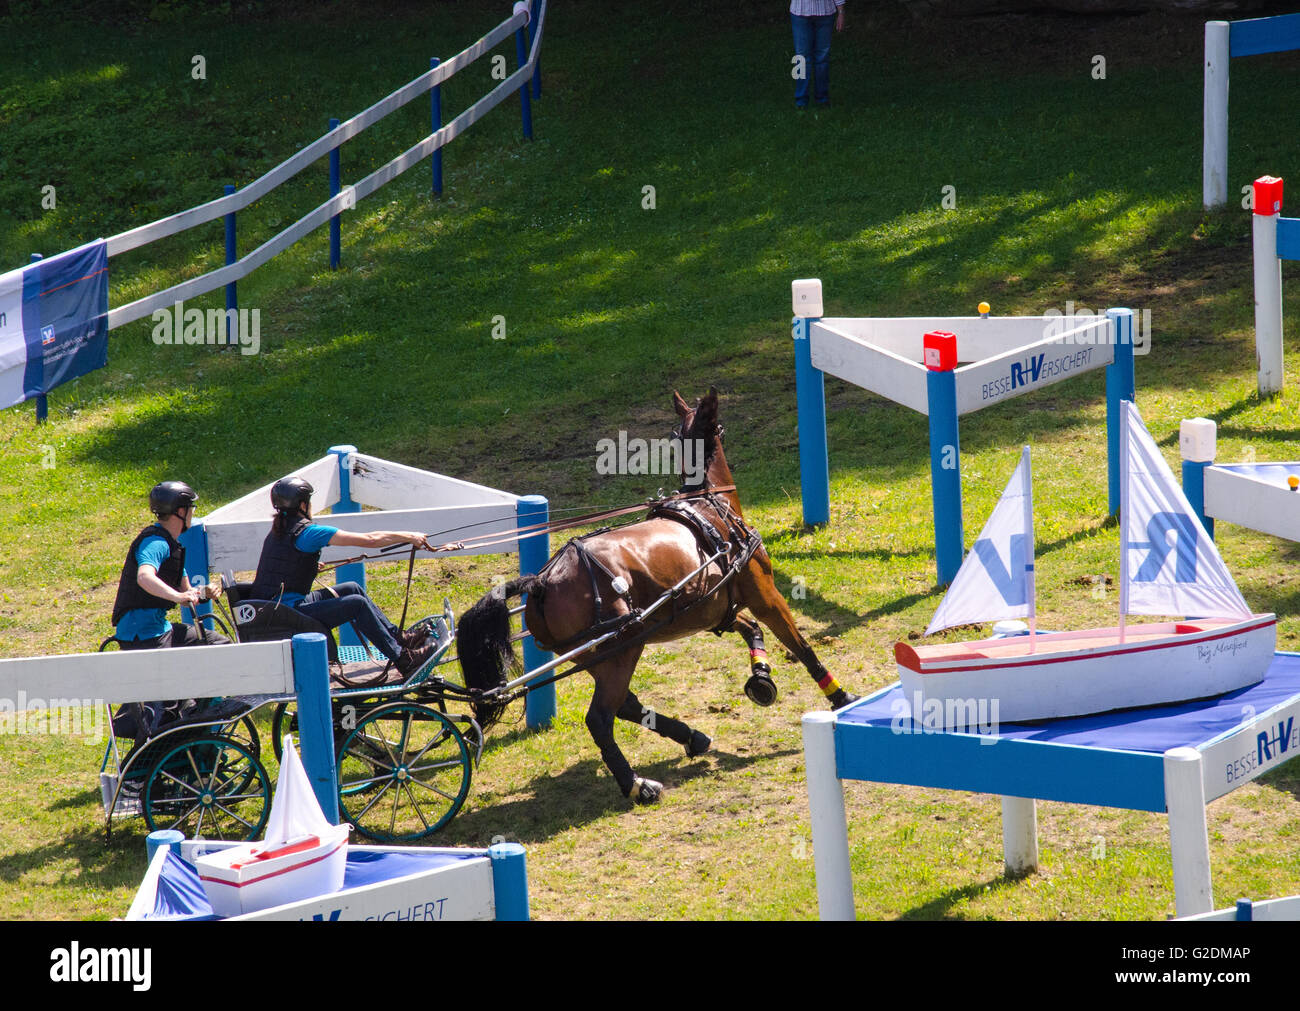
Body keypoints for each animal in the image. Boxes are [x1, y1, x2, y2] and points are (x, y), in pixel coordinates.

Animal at [455, 388, 857, 803]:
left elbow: (749, 629)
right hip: (623, 648)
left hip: (601, 655)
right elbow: (801, 646)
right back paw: (636, 784)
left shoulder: (713, 608)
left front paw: (760, 674)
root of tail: (541, 581)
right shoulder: (765, 594)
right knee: (601, 717)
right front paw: (840, 698)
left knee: (625, 705)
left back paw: (690, 737)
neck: (710, 508)